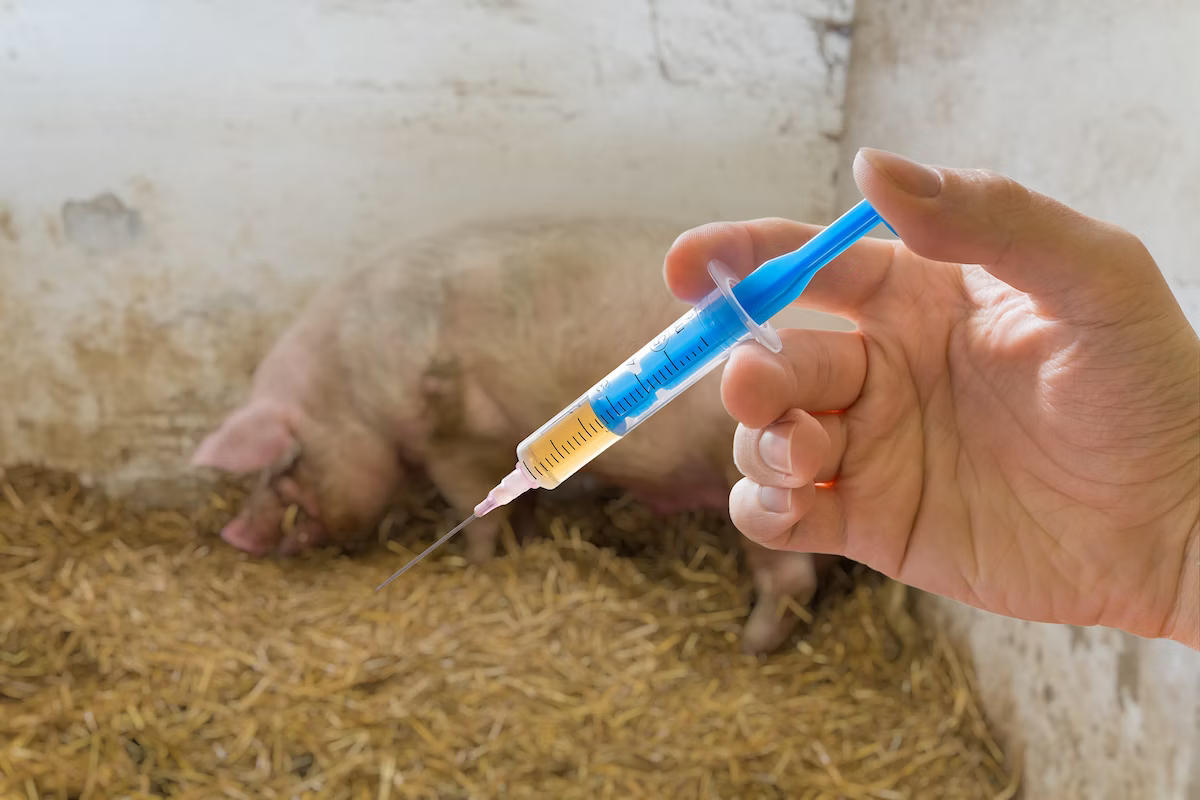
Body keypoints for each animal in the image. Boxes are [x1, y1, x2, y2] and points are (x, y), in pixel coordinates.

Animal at [191, 218, 834, 654]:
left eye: (285, 462)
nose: (233, 534)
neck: (349, 386)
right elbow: (517, 509)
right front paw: (522, 545)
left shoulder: (456, 444)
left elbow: (473, 510)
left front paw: (473, 564)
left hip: (748, 480)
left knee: (791, 577)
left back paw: (746, 646)